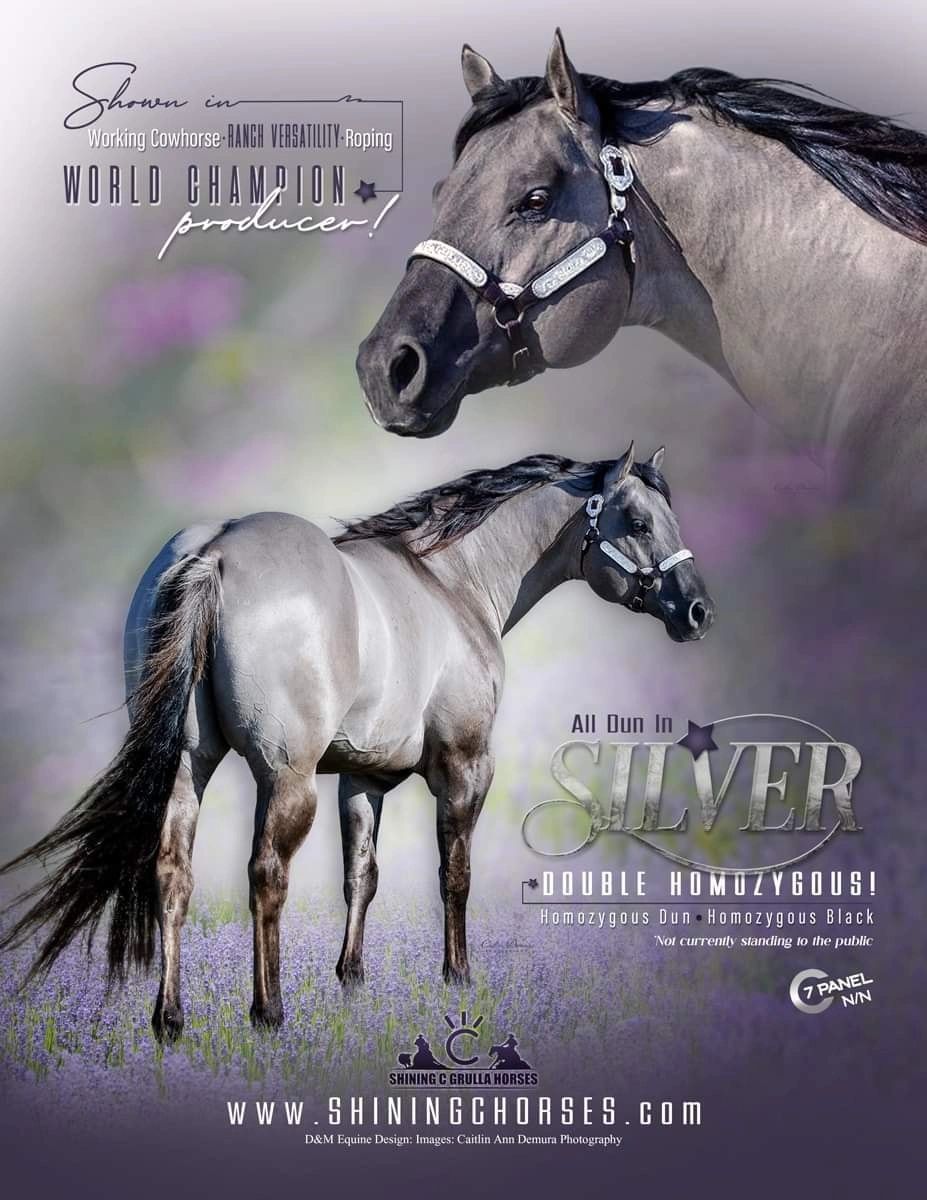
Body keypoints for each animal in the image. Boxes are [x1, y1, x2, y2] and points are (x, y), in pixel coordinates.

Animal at [0, 442, 713, 1041]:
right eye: (639, 522)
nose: (698, 611)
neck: (447, 583)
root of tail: (215, 552)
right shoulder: (465, 768)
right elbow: (454, 874)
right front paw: (458, 977)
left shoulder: (363, 778)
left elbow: (361, 876)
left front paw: (351, 979)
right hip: (286, 780)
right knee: (267, 875)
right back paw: (268, 1011)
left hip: (187, 766)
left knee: (172, 873)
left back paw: (170, 1019)